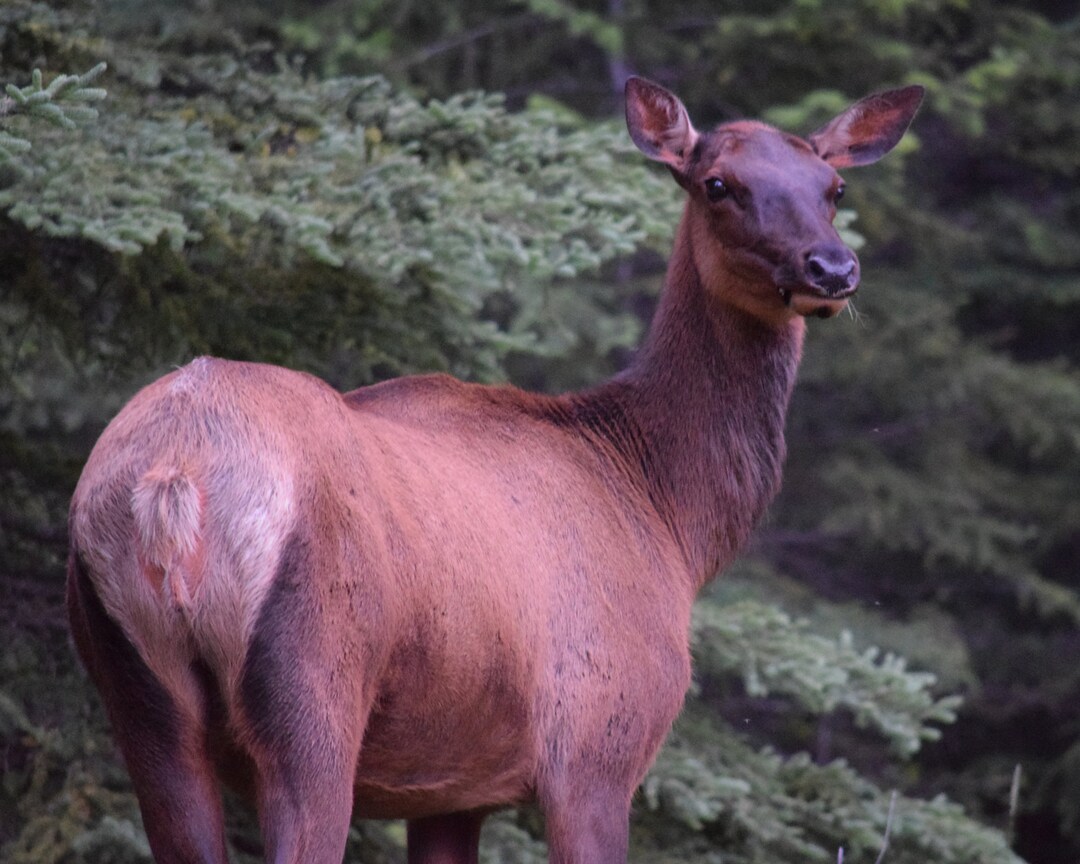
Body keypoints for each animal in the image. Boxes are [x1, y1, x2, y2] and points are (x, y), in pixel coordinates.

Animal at [66, 77, 923, 864]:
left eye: (834, 188)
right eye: (718, 183)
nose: (832, 268)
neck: (669, 512)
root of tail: (173, 482)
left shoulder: (451, 787)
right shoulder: (598, 750)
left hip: (138, 697)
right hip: (313, 694)